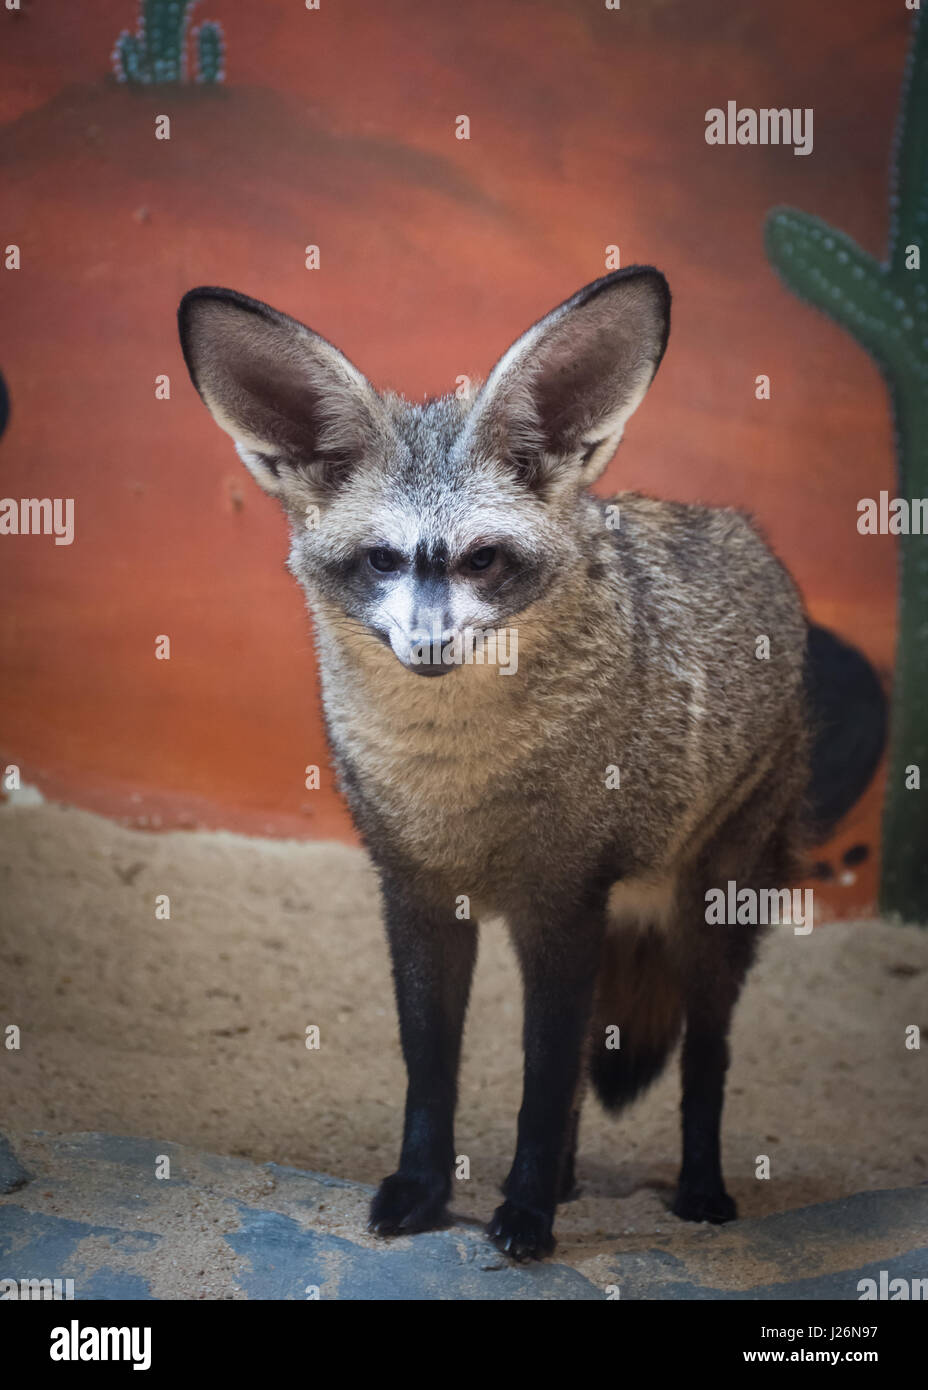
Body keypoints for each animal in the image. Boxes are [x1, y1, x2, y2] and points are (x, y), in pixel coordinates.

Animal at [177, 267, 872, 1261]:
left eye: (483, 561)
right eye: (382, 560)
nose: (429, 645)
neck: (457, 787)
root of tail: (744, 532)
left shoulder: (563, 906)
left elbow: (543, 1086)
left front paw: (528, 1211)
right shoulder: (419, 898)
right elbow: (435, 1073)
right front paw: (427, 1192)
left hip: (712, 914)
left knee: (704, 1058)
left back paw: (700, 1189)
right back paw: (577, 1181)